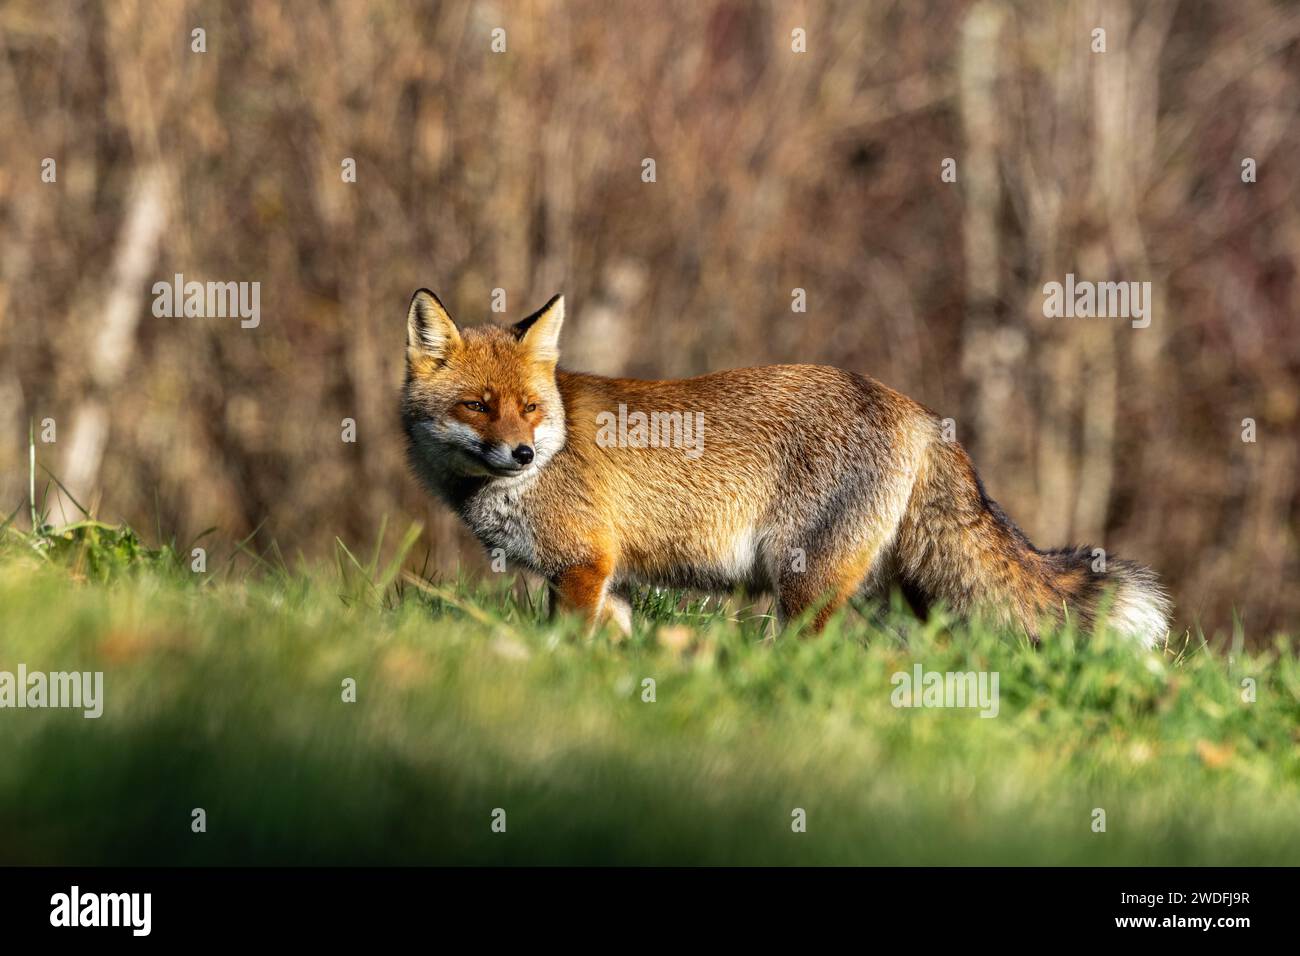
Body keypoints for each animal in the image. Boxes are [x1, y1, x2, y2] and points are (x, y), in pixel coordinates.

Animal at [401, 289, 1172, 647]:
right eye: (478, 406)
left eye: (530, 409)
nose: (523, 454)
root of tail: (917, 410)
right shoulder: (608, 580)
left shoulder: (583, 566)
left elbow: (568, 638)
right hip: (911, 594)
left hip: (804, 579)